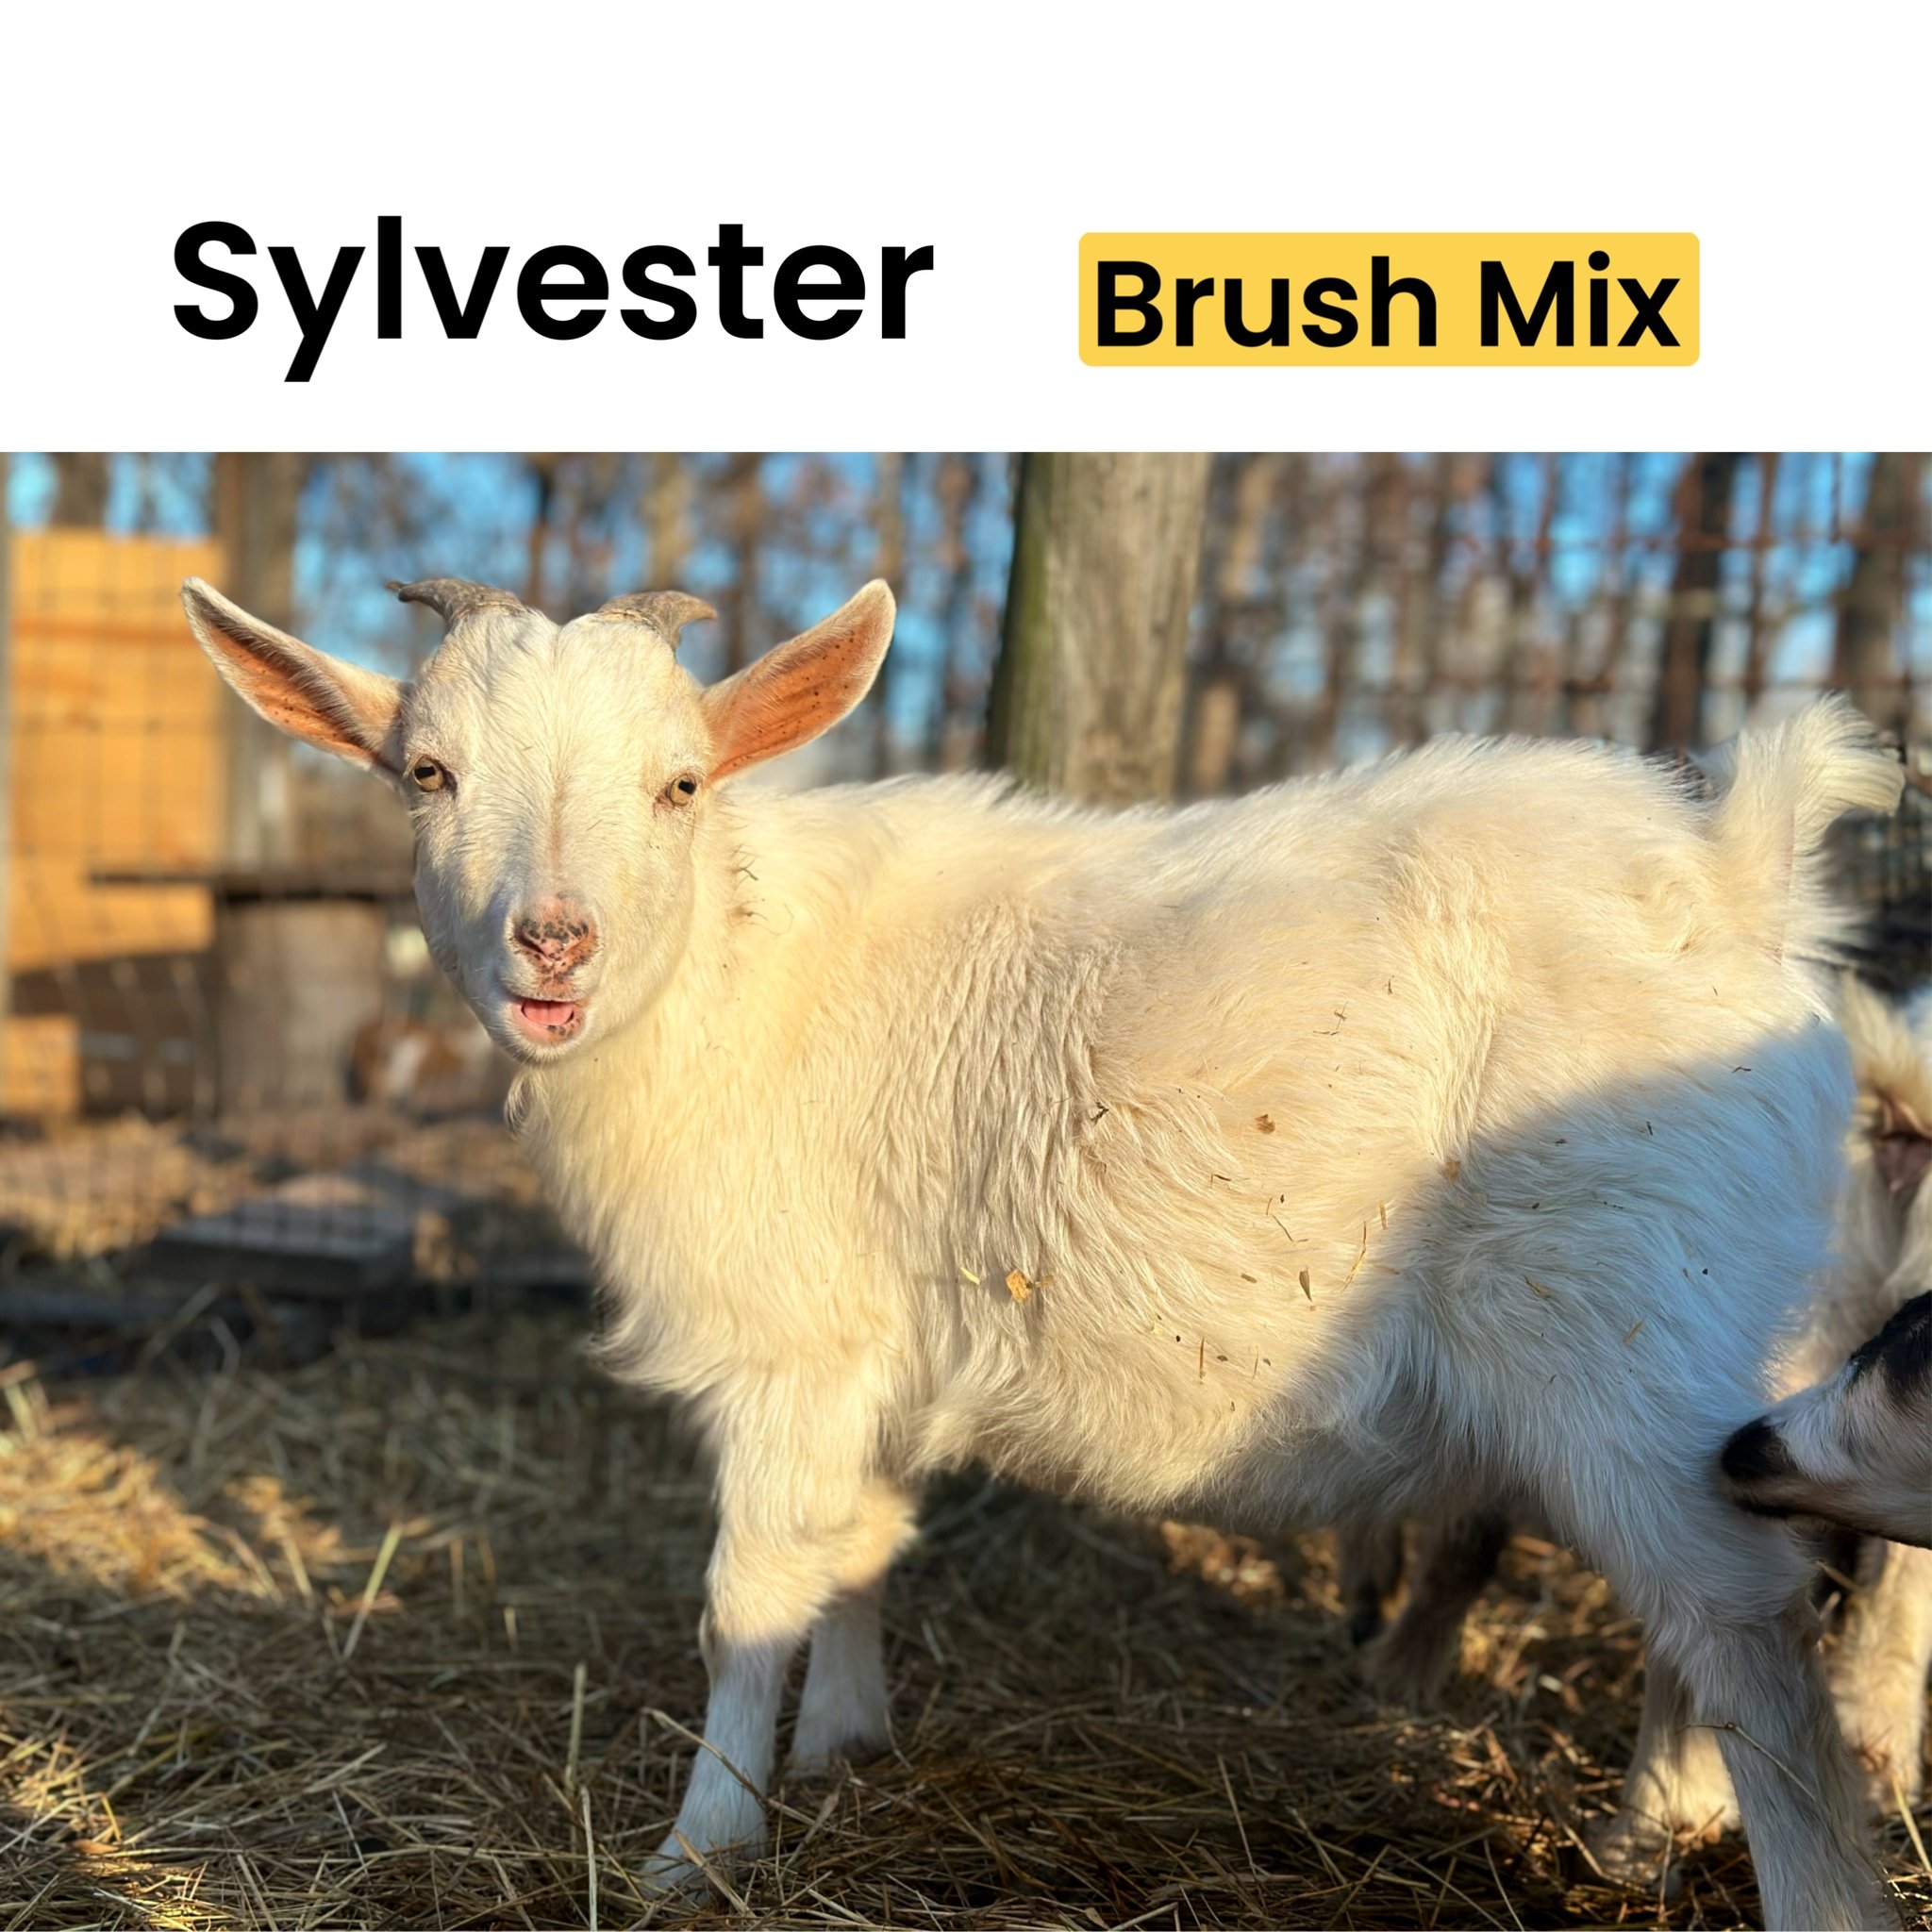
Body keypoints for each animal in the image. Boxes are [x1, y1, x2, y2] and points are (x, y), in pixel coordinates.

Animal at [183, 571, 1905, 1930]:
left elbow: (752, 1589)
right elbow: (860, 1547)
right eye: (425, 772)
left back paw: (1782, 1879)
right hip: (1704, 1343)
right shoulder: (877, 1353)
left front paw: (703, 1845)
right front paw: (850, 1744)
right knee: (1707, 1622)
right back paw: (1637, 1839)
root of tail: (1740, 874)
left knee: (1744, 1634)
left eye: (678, 784)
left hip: (1617, 1312)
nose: (552, 946)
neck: (729, 965)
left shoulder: (793, 1349)